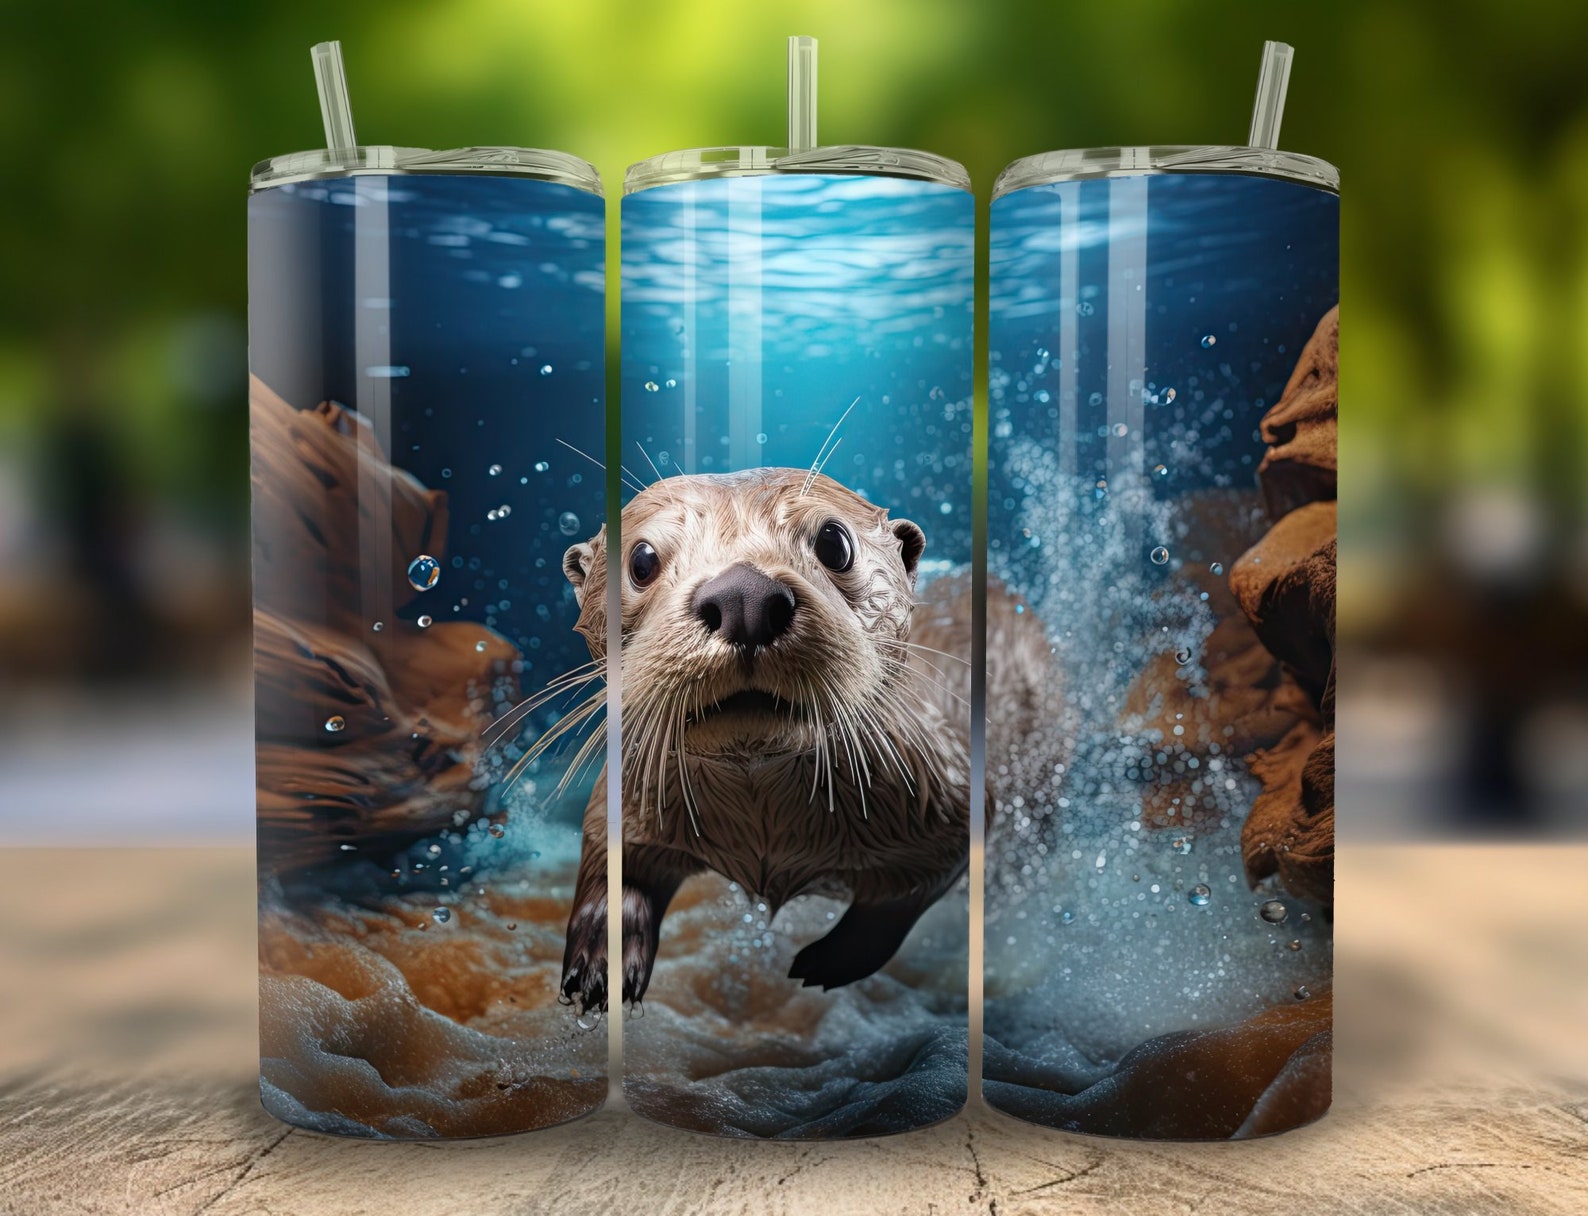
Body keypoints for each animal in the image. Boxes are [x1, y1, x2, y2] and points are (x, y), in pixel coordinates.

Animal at [555, 467, 980, 1013]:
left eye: (834, 543)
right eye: (641, 560)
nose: (744, 597)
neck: (766, 833)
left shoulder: (944, 795)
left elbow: (905, 896)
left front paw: (828, 962)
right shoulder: (628, 794)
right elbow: (608, 859)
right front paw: (598, 961)